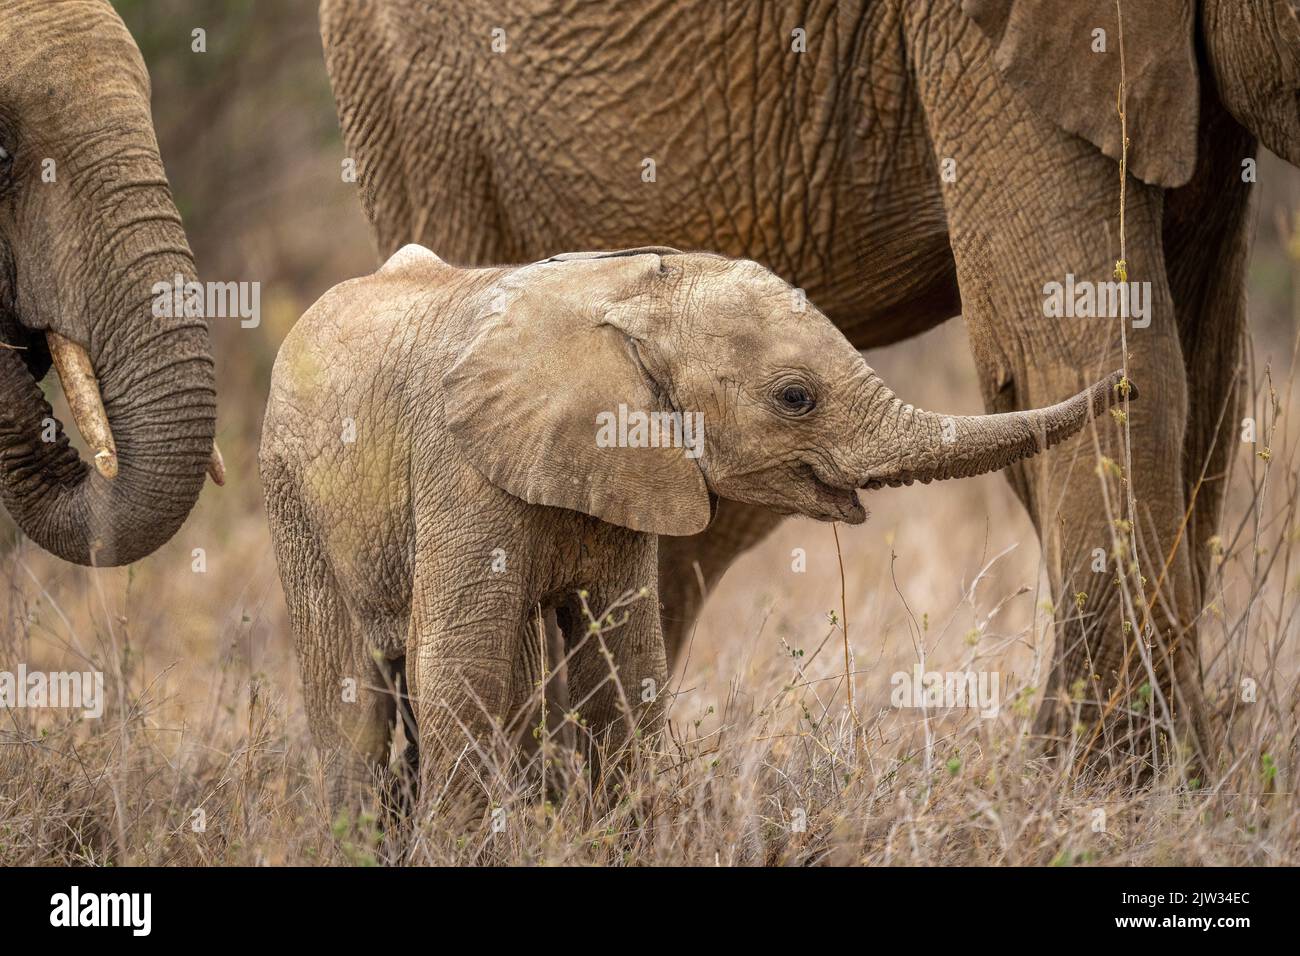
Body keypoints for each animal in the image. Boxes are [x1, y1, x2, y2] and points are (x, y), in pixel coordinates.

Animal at [259, 242, 1131, 812]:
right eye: (795, 398)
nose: (1124, 381)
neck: (624, 295)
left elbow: (623, 667)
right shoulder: (459, 469)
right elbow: (460, 670)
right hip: (289, 494)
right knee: (352, 705)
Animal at [319, 0, 1300, 763]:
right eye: (796, 398)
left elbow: (1208, 373)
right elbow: (1081, 342)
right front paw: (1115, 788)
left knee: (691, 521)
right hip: (422, 107)